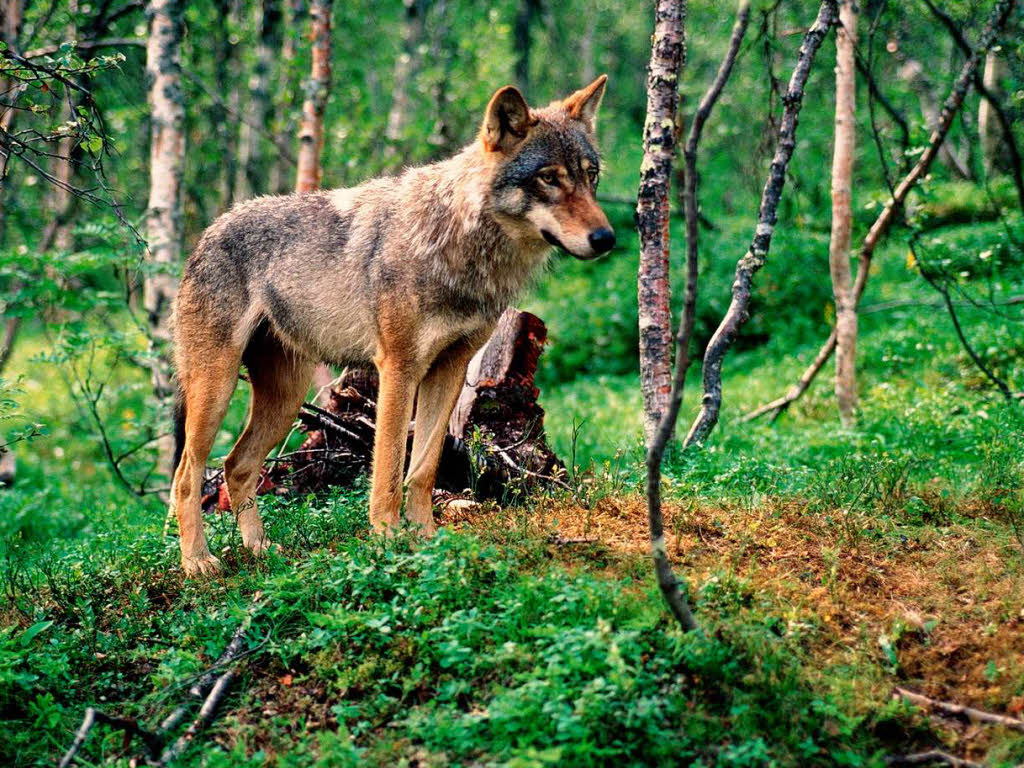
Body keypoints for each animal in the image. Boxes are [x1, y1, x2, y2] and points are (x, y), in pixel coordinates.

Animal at [170, 75, 615, 575]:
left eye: (590, 176)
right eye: (549, 178)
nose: (606, 238)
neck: (456, 243)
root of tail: (207, 232)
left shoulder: (449, 370)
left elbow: (422, 469)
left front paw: (426, 538)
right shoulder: (398, 368)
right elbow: (387, 471)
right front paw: (386, 538)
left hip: (285, 399)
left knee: (236, 465)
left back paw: (261, 549)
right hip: (218, 387)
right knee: (187, 474)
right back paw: (198, 562)